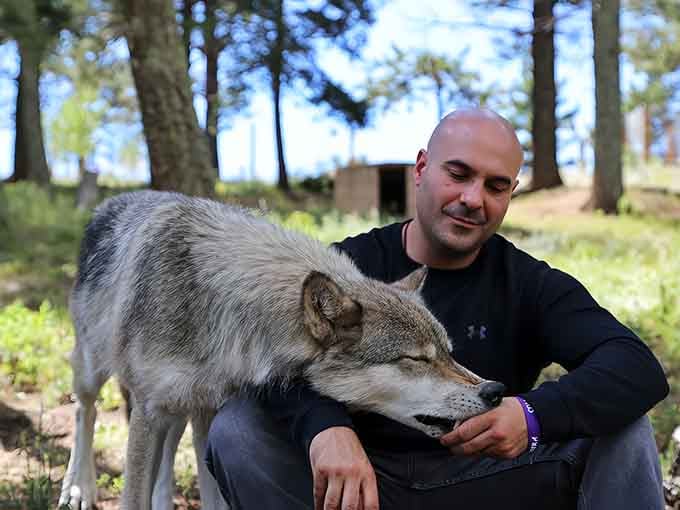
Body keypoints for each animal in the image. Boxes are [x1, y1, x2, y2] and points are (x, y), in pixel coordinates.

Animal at [58, 191, 506, 510]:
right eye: (415, 359)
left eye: (448, 352)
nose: (496, 391)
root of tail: (108, 204)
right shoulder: (150, 410)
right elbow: (133, 494)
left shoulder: (206, 412)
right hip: (95, 371)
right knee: (85, 411)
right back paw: (78, 488)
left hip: (185, 411)